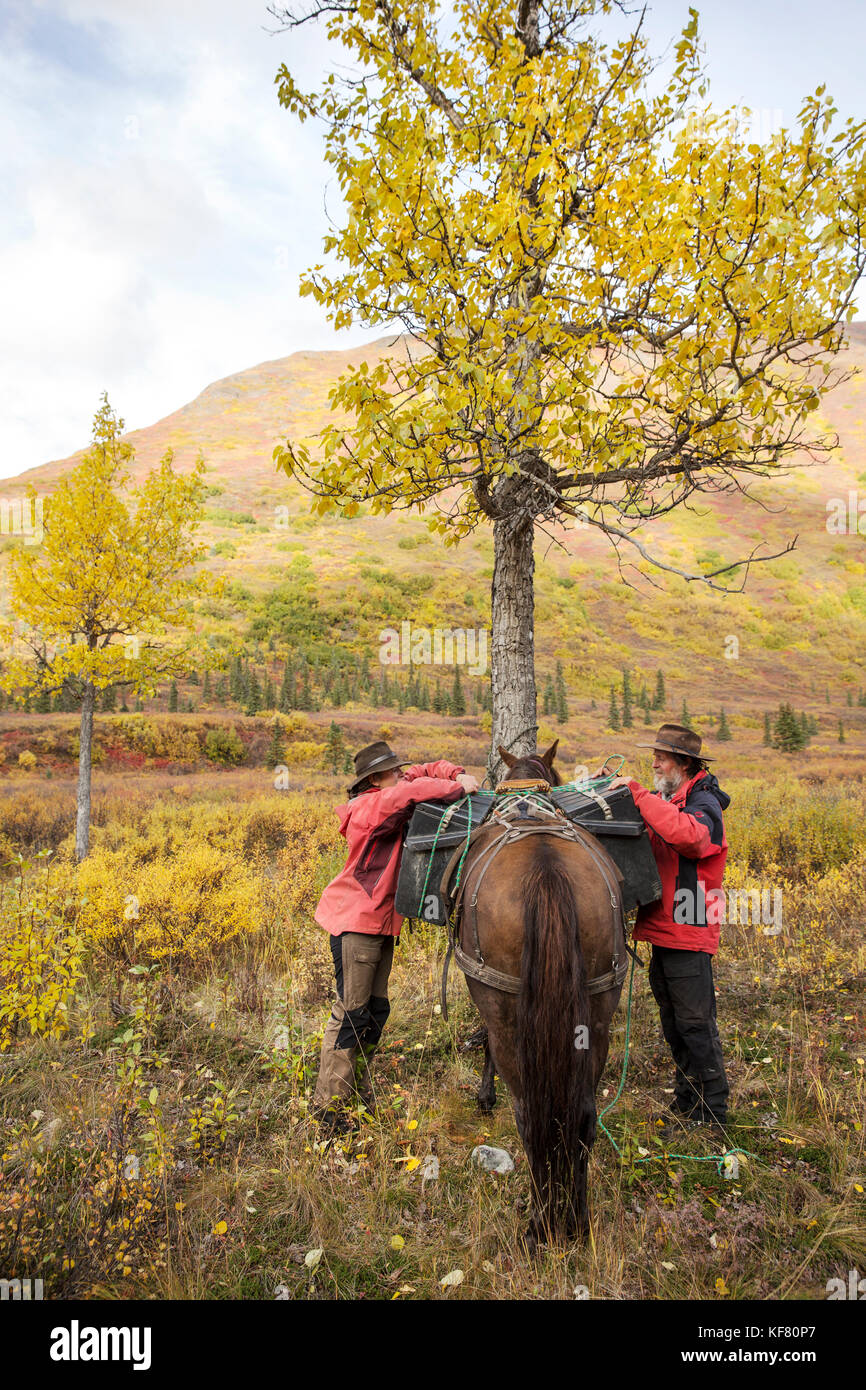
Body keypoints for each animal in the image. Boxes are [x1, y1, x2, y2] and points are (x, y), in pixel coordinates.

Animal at [453, 739, 627, 1250]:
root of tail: (548, 873)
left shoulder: (491, 998)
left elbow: (488, 1048)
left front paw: (484, 1095)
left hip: (509, 1011)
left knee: (531, 1119)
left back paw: (538, 1227)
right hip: (598, 1012)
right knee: (582, 1118)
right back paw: (578, 1223)